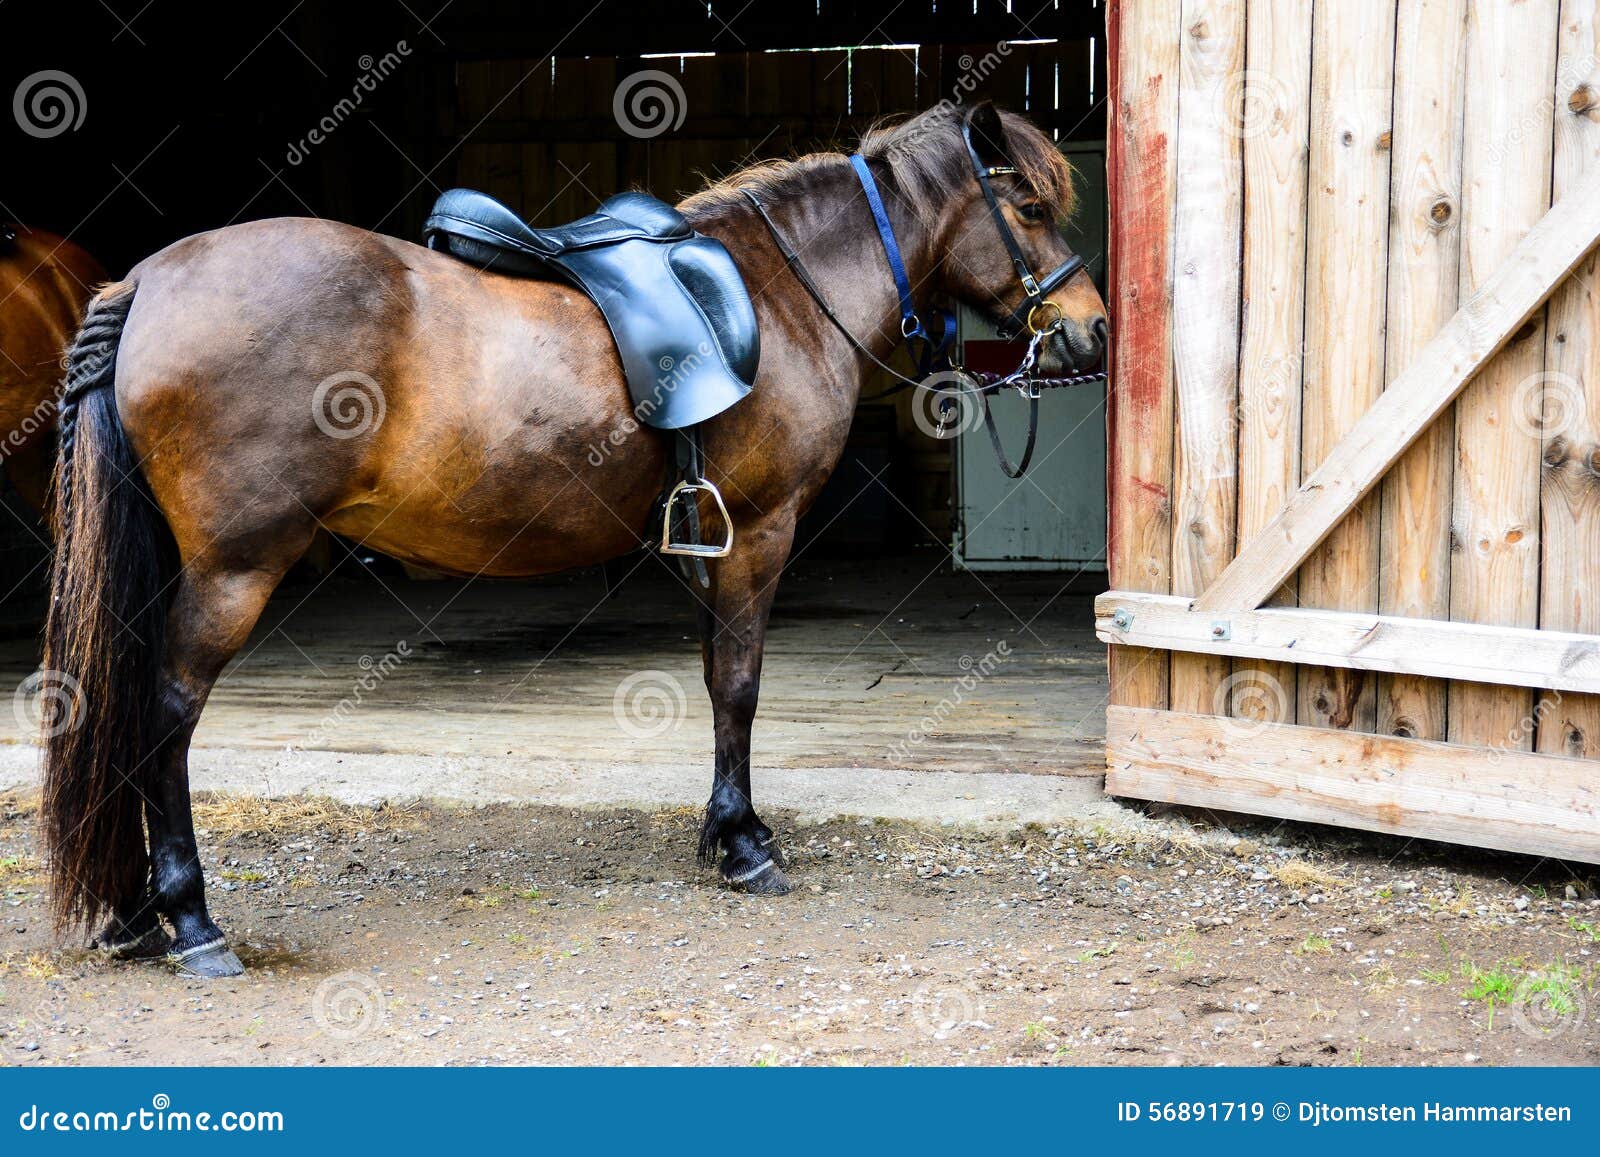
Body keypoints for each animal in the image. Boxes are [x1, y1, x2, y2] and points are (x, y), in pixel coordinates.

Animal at [39, 100, 1107, 978]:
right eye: (1028, 205)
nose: (1091, 332)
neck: (780, 292)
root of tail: (146, 281)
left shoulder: (706, 543)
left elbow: (715, 678)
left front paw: (724, 831)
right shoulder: (760, 532)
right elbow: (741, 684)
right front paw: (746, 845)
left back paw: (136, 914)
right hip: (235, 569)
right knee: (166, 713)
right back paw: (191, 921)